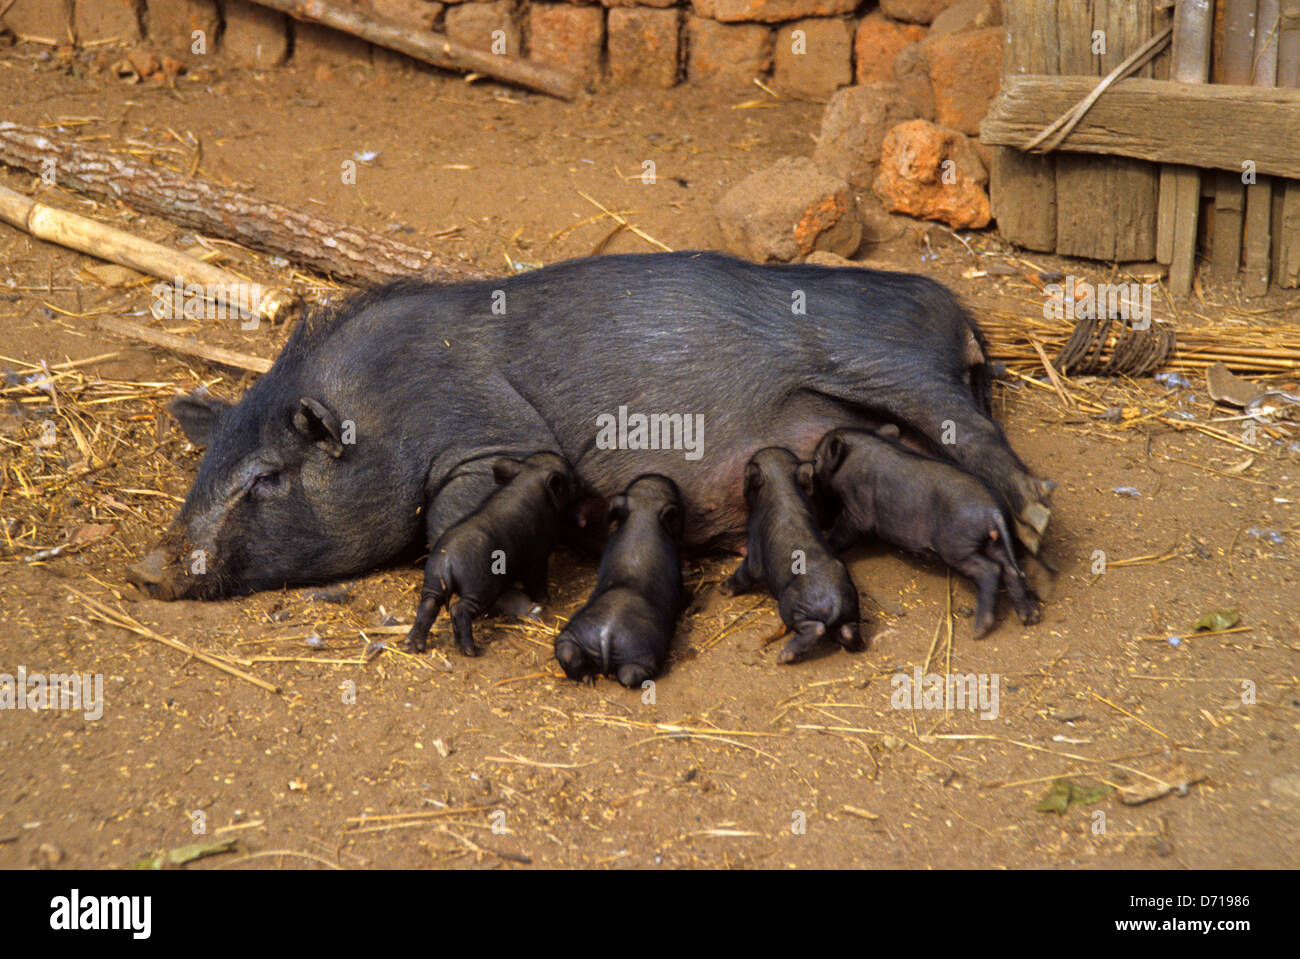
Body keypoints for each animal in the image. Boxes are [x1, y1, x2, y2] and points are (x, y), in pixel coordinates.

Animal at [129, 251, 1052, 607]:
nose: (146, 566)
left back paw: (1038, 519)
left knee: (982, 441)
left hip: (891, 362)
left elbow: (448, 514)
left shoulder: (493, 436)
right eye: (204, 471)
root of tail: (958, 311)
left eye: (266, 479)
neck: (386, 407)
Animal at [402, 451, 577, 657]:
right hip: (480, 585)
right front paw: (548, 603)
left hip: (434, 579)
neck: (527, 479)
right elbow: (538, 582)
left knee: (428, 605)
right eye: (569, 474)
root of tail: (447, 561)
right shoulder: (538, 555)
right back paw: (471, 651)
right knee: (458, 609)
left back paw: (411, 646)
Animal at [554, 474, 684, 687]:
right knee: (630, 674)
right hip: (641, 653)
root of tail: (607, 634)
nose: (655, 475)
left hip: (574, 635)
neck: (642, 516)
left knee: (568, 653)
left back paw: (587, 679)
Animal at [722, 447, 862, 663]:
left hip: (790, 604)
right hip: (851, 609)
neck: (782, 486)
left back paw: (783, 657)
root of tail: (836, 600)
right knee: (848, 630)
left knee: (815, 628)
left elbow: (746, 571)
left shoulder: (754, 547)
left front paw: (724, 589)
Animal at [812, 427, 1041, 638]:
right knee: (1011, 569)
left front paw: (827, 543)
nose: (808, 470)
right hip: (994, 542)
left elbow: (844, 531)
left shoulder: (857, 510)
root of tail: (994, 512)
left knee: (990, 569)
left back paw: (978, 630)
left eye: (816, 459)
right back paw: (1030, 617)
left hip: (957, 547)